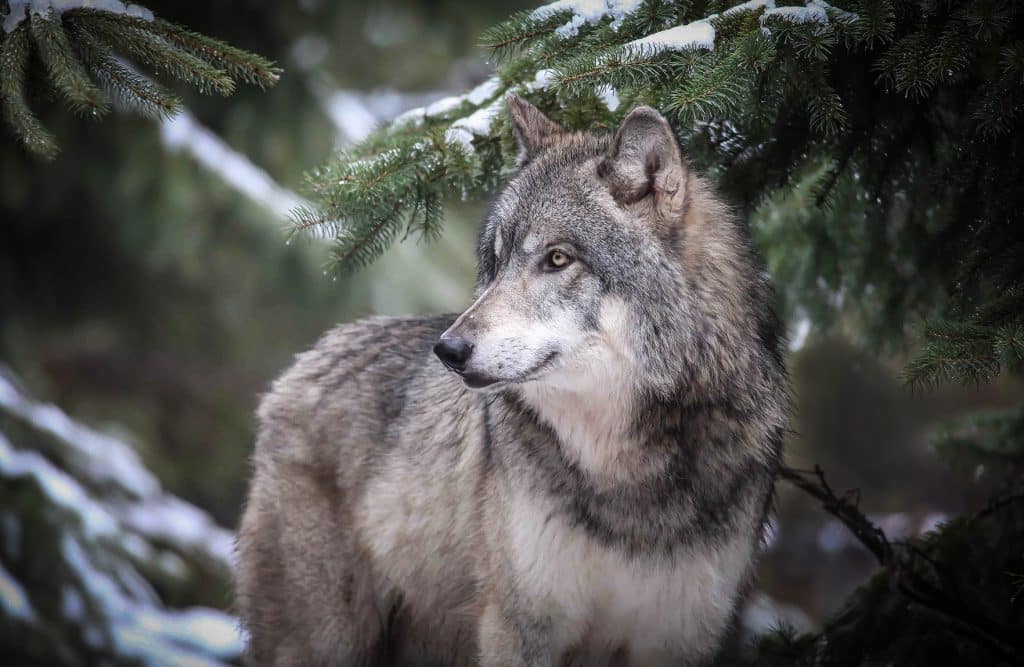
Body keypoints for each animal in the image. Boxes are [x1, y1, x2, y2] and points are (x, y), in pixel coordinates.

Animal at [235, 96, 787, 666]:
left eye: (558, 258)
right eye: (496, 262)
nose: (449, 351)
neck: (626, 477)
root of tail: (304, 362)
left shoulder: (679, 638)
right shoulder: (520, 627)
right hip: (325, 638)